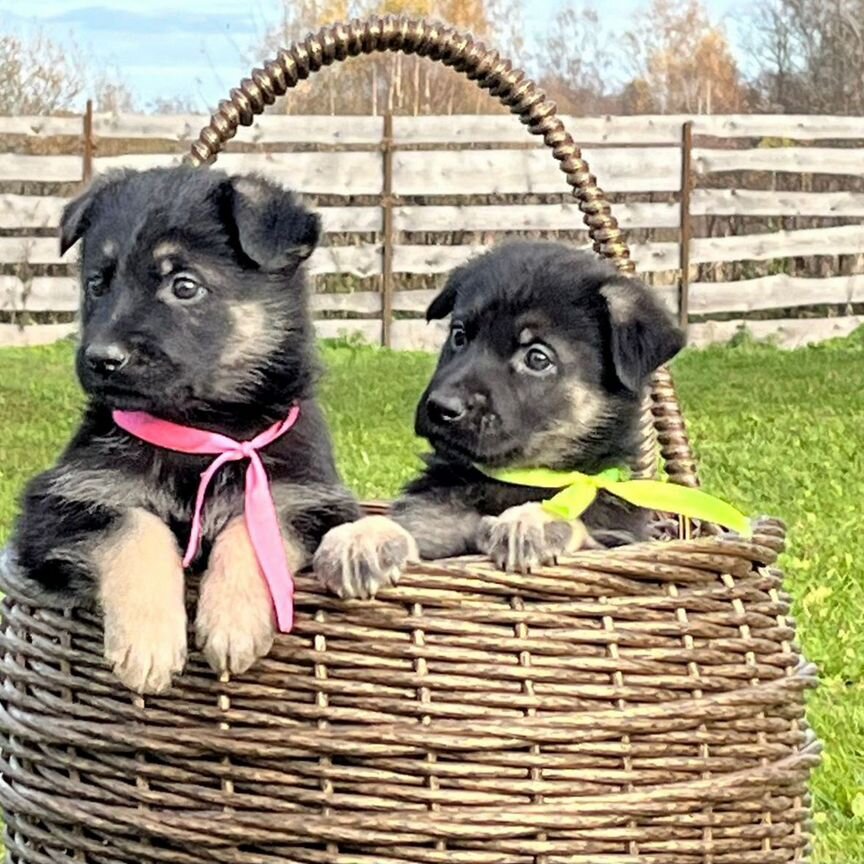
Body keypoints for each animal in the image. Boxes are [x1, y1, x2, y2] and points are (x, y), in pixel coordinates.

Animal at [10, 167, 370, 696]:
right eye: (97, 283)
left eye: (184, 286)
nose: (101, 359)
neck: (199, 429)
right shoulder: (64, 501)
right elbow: (137, 527)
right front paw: (149, 642)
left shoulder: (308, 499)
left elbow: (252, 526)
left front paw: (234, 621)